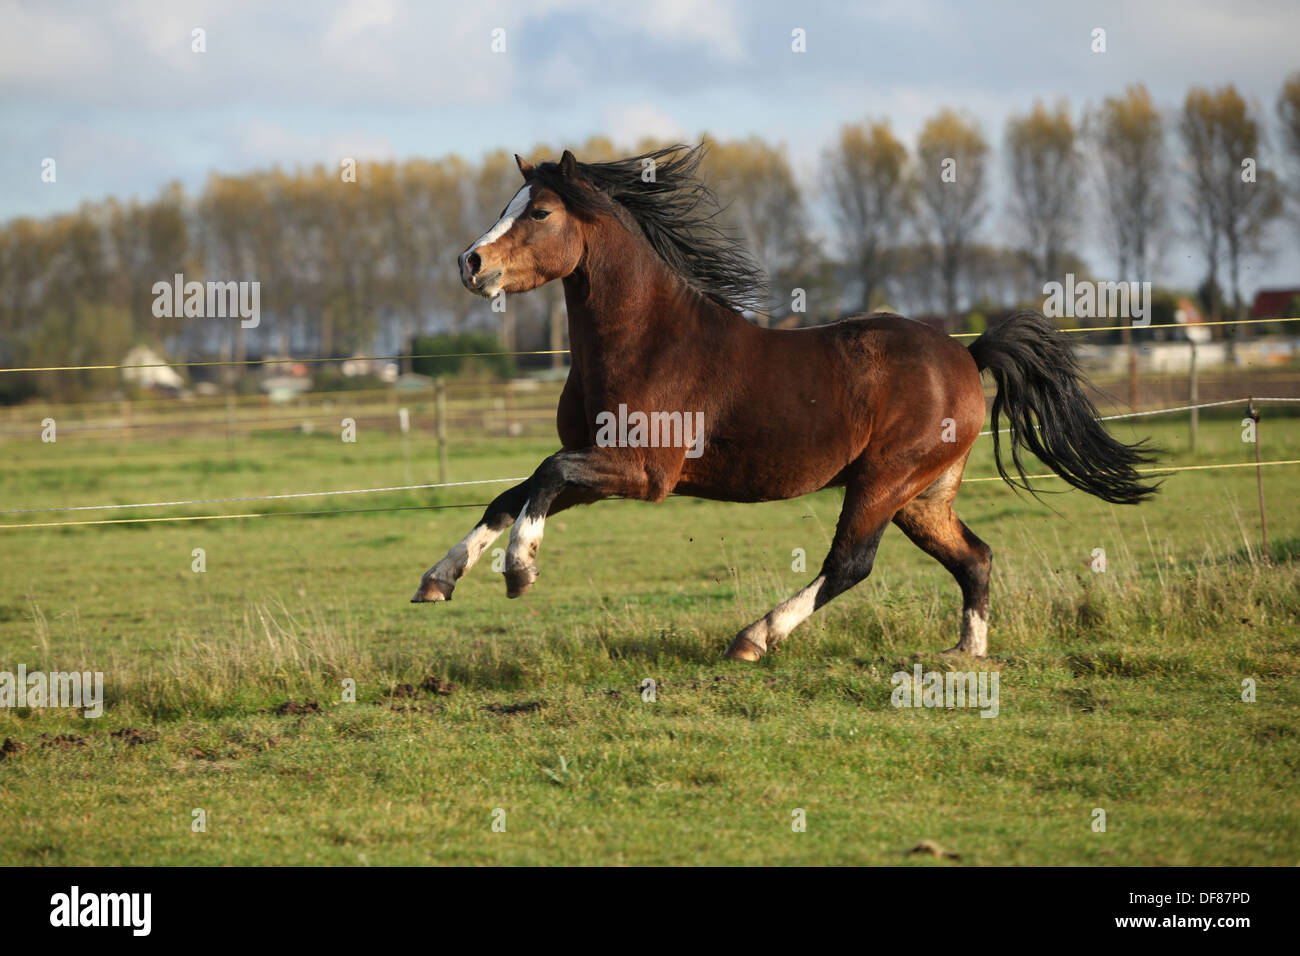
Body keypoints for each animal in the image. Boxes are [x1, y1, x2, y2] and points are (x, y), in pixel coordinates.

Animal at [412, 144, 1157, 660]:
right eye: (507, 207)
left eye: (538, 211)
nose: (470, 264)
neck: (647, 342)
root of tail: (967, 357)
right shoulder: (598, 465)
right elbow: (513, 493)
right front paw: (439, 579)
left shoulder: (644, 473)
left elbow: (544, 475)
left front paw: (519, 571)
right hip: (922, 495)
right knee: (974, 557)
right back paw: (964, 655)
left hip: (885, 480)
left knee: (851, 563)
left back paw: (755, 636)